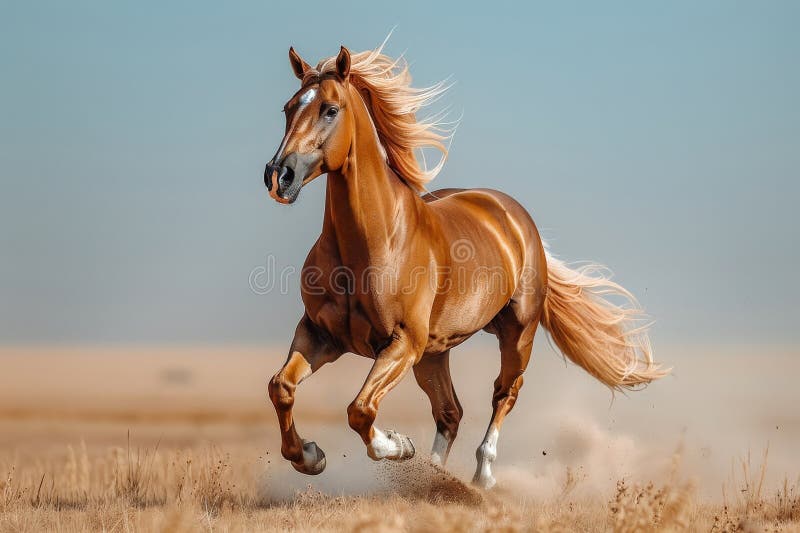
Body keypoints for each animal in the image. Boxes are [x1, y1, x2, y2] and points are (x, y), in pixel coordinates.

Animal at [262, 41, 667, 489]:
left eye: (330, 109)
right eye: (288, 108)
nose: (279, 175)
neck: (373, 244)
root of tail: (514, 216)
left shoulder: (401, 343)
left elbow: (361, 410)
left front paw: (399, 445)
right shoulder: (321, 335)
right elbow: (281, 387)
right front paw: (309, 456)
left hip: (515, 334)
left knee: (504, 393)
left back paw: (481, 475)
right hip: (434, 353)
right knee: (450, 412)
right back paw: (434, 479)